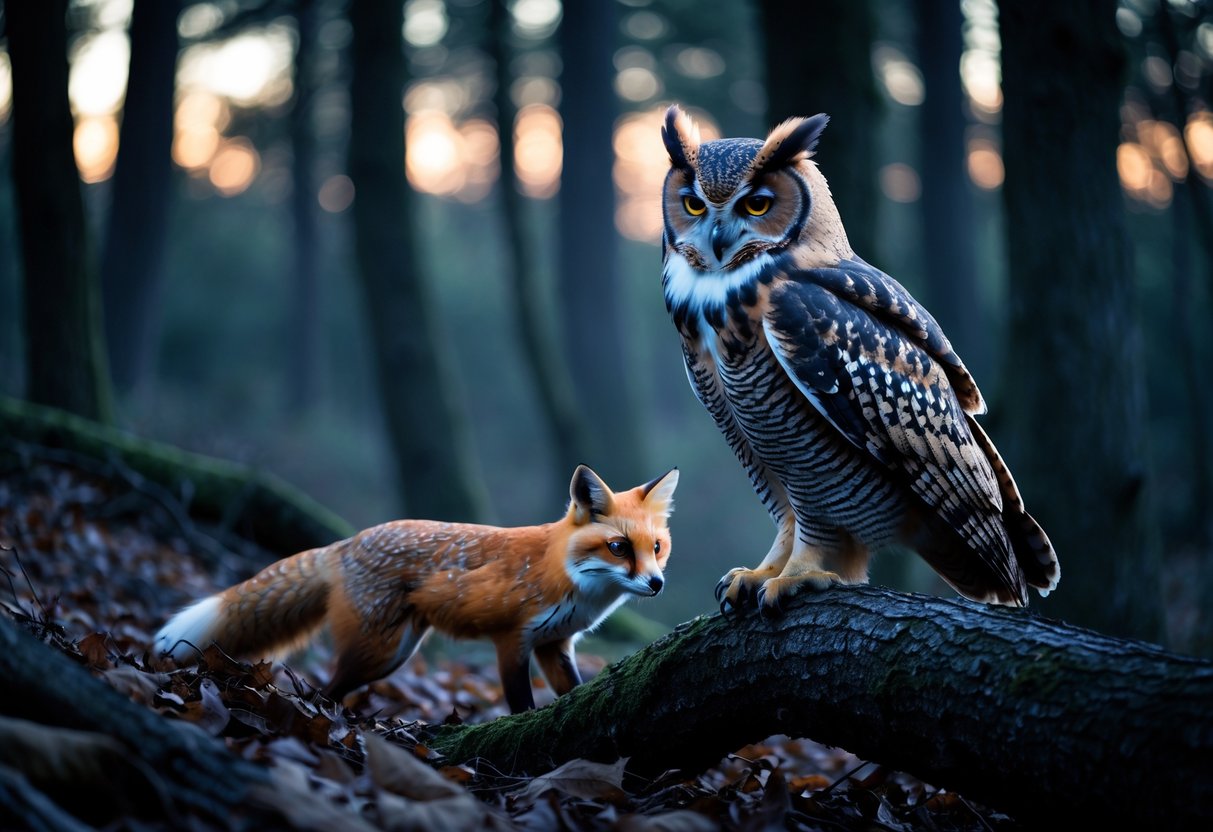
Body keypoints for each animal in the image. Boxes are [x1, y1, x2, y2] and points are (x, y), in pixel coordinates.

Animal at [154, 465, 678, 713]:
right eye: (618, 548)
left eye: (656, 547)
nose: (656, 584)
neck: (566, 576)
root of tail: (346, 542)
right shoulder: (512, 640)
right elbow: (519, 703)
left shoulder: (556, 644)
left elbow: (573, 693)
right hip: (383, 651)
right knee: (326, 690)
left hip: (395, 653)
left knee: (332, 689)